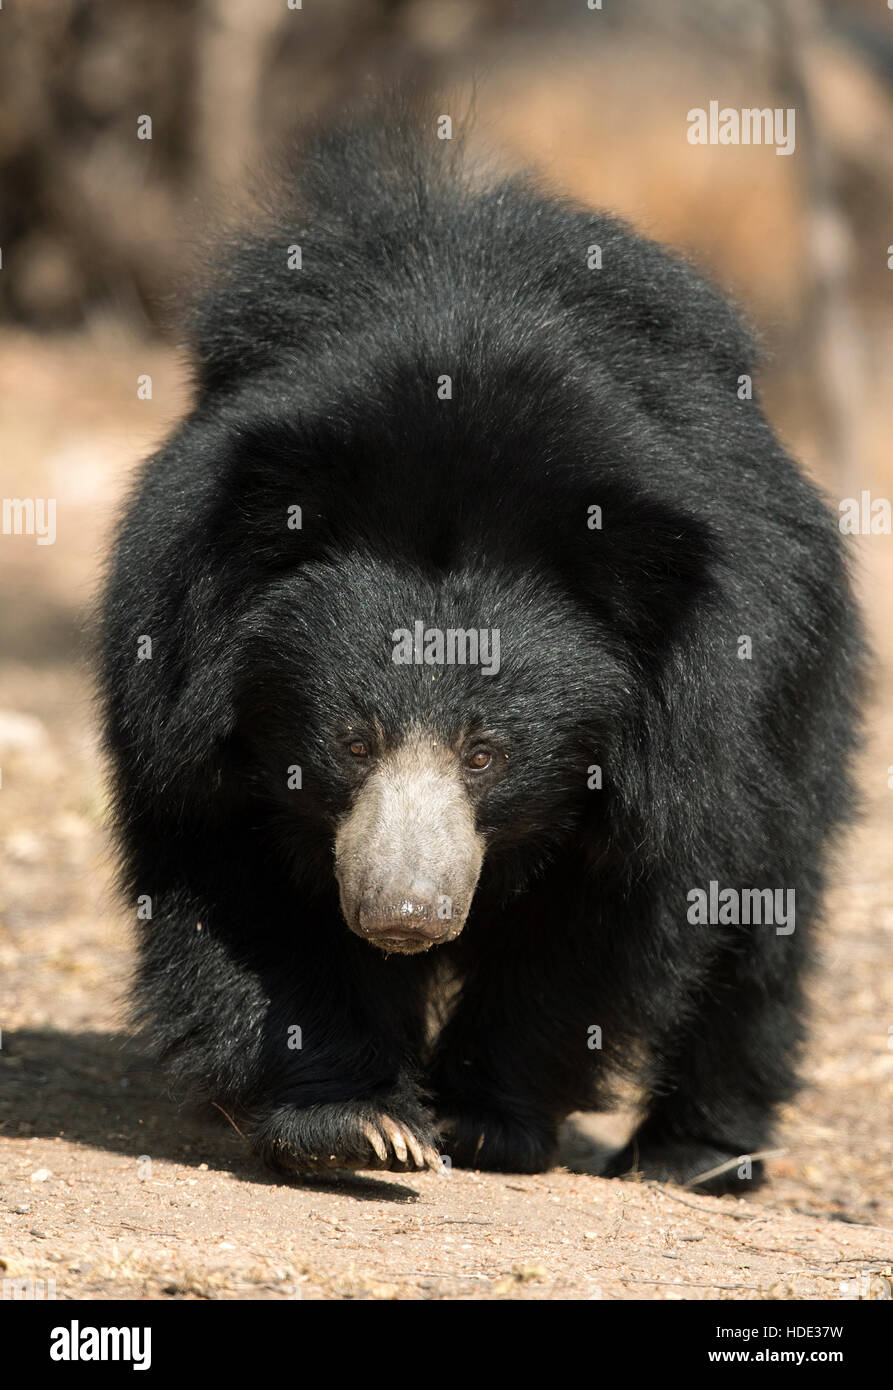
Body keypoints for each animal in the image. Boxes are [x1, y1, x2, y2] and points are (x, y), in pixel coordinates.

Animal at [98, 100, 864, 1193]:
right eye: (350, 741)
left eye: (486, 754)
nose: (403, 913)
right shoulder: (184, 683)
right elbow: (231, 873)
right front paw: (356, 1121)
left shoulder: (689, 718)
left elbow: (613, 905)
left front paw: (479, 1121)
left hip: (804, 696)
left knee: (767, 918)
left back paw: (700, 1155)